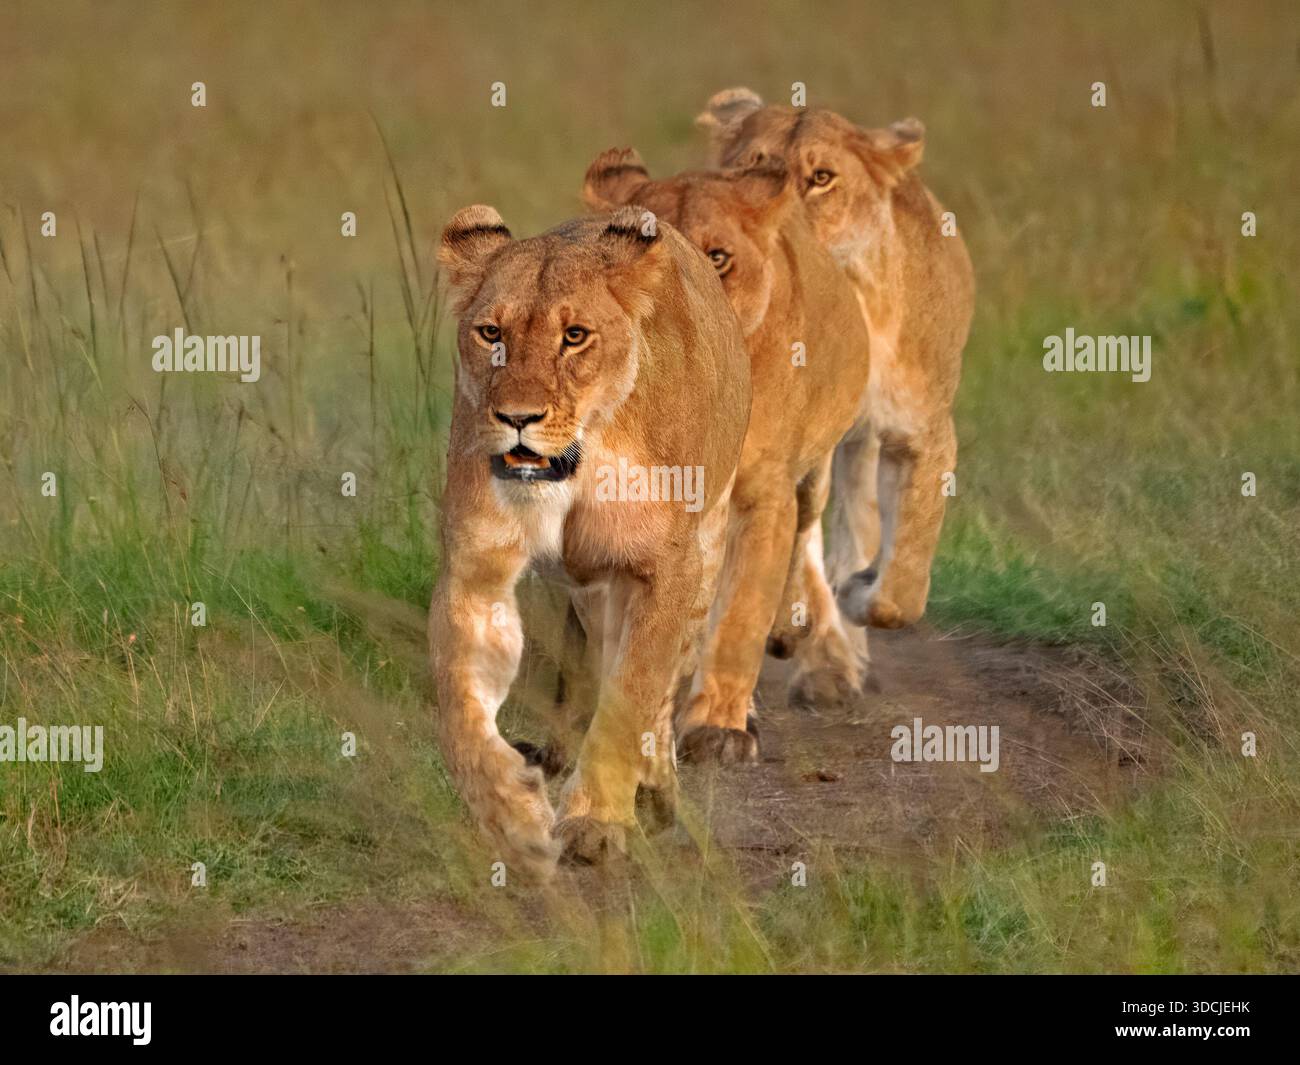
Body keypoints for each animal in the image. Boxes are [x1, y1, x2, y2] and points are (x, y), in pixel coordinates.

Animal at [430, 204, 751, 876]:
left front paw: (595, 822)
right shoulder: (474, 567)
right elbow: (460, 709)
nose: (516, 418)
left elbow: (631, 696)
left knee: (662, 684)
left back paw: (654, 791)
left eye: (574, 336)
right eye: (490, 333)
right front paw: (512, 813)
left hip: (705, 555)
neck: (575, 465)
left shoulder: (665, 569)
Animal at [583, 149, 871, 761]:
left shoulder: (763, 496)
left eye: (717, 258)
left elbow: (739, 616)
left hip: (813, 472)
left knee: (801, 536)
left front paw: (718, 726)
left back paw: (788, 631)